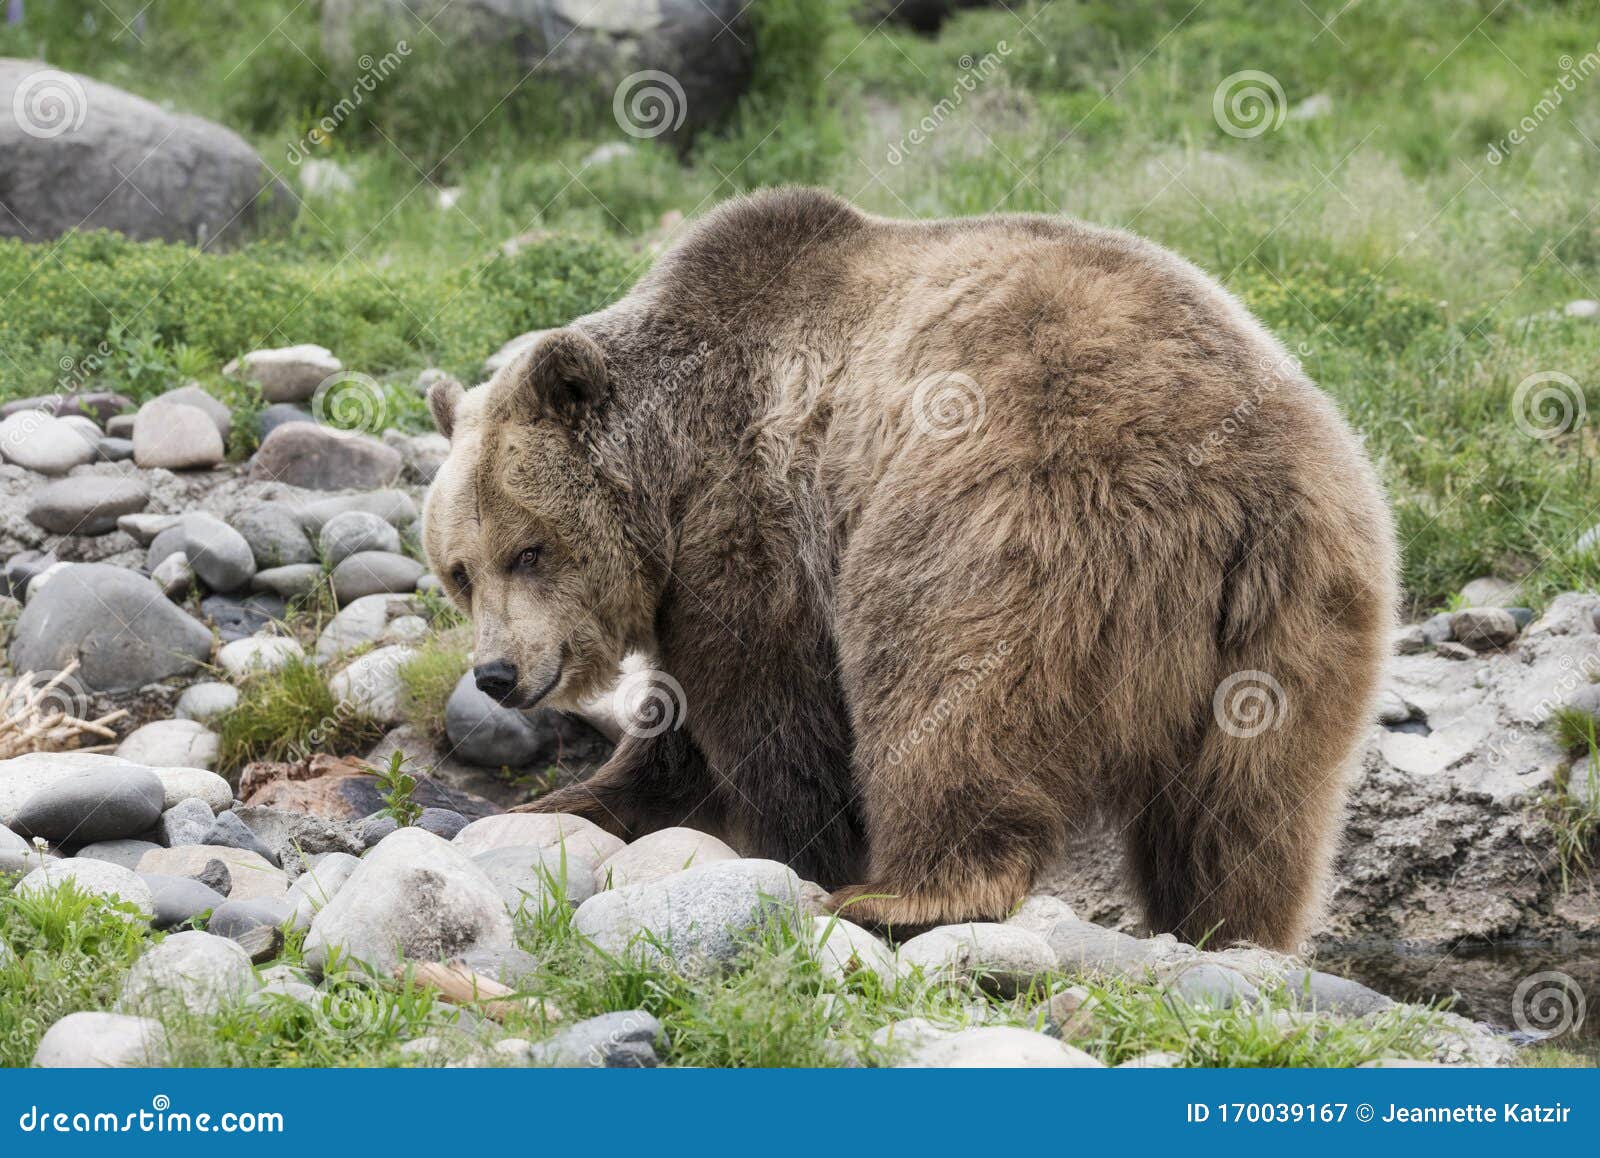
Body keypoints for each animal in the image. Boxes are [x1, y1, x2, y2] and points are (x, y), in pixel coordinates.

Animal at [423, 187, 1396, 950]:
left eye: (530, 550)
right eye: (459, 571)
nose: (498, 673)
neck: (670, 468)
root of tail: (1236, 471)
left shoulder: (756, 521)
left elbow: (769, 714)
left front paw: (796, 855)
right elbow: (678, 741)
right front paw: (548, 810)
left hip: (1011, 515)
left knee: (943, 686)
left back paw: (899, 895)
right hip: (1303, 613)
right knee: (1249, 809)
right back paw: (1229, 931)